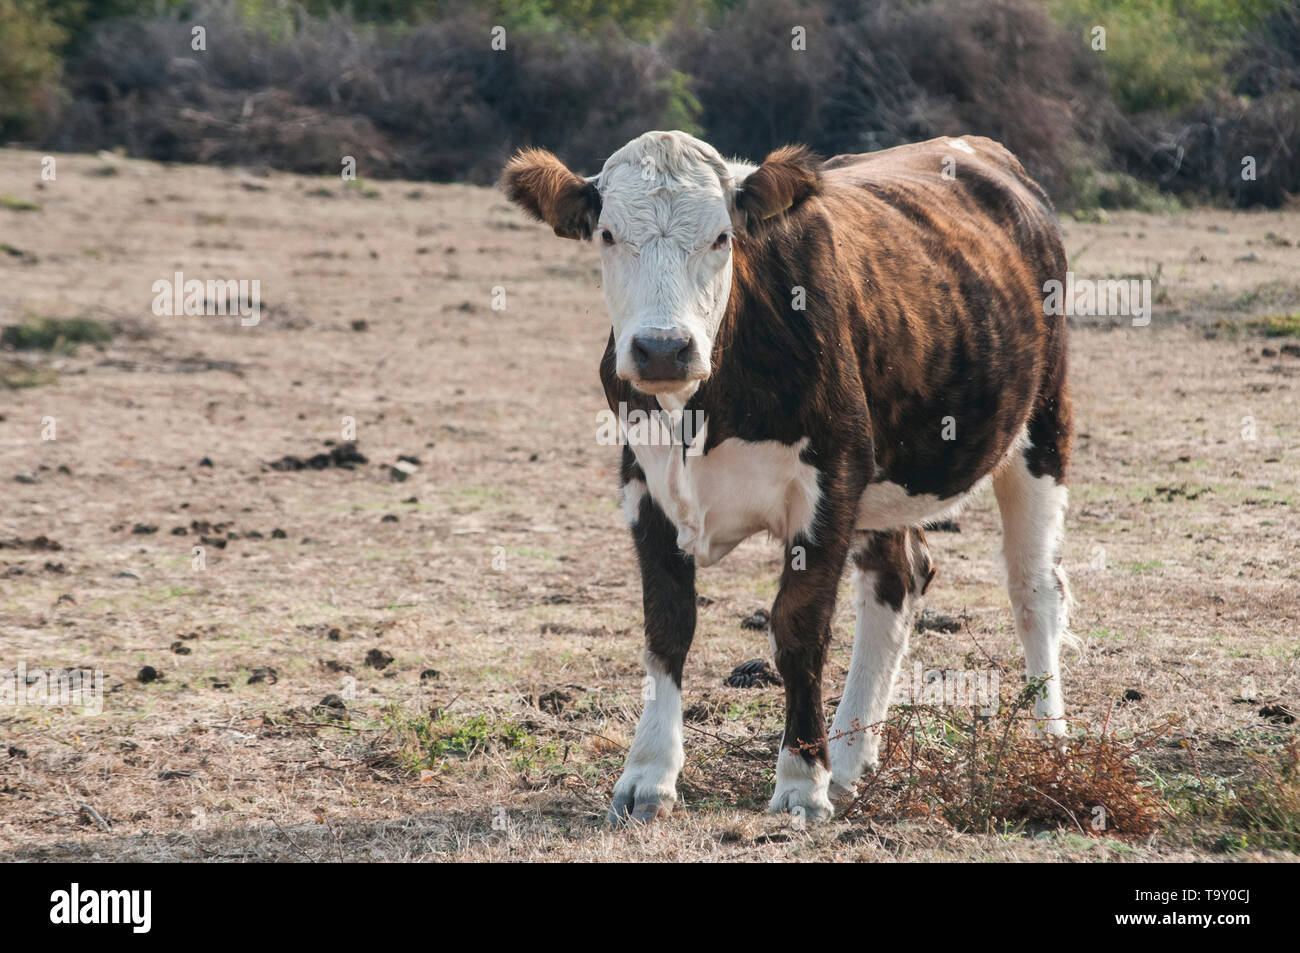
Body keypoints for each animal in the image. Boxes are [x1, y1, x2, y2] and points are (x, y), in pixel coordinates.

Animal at [501, 130, 1072, 824]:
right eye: (608, 234)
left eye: (722, 237)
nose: (663, 348)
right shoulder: (643, 485)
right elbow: (667, 626)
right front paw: (648, 775)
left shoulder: (832, 481)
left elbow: (798, 630)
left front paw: (801, 780)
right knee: (898, 580)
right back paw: (850, 762)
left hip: (1042, 423)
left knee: (1034, 590)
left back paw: (1049, 746)